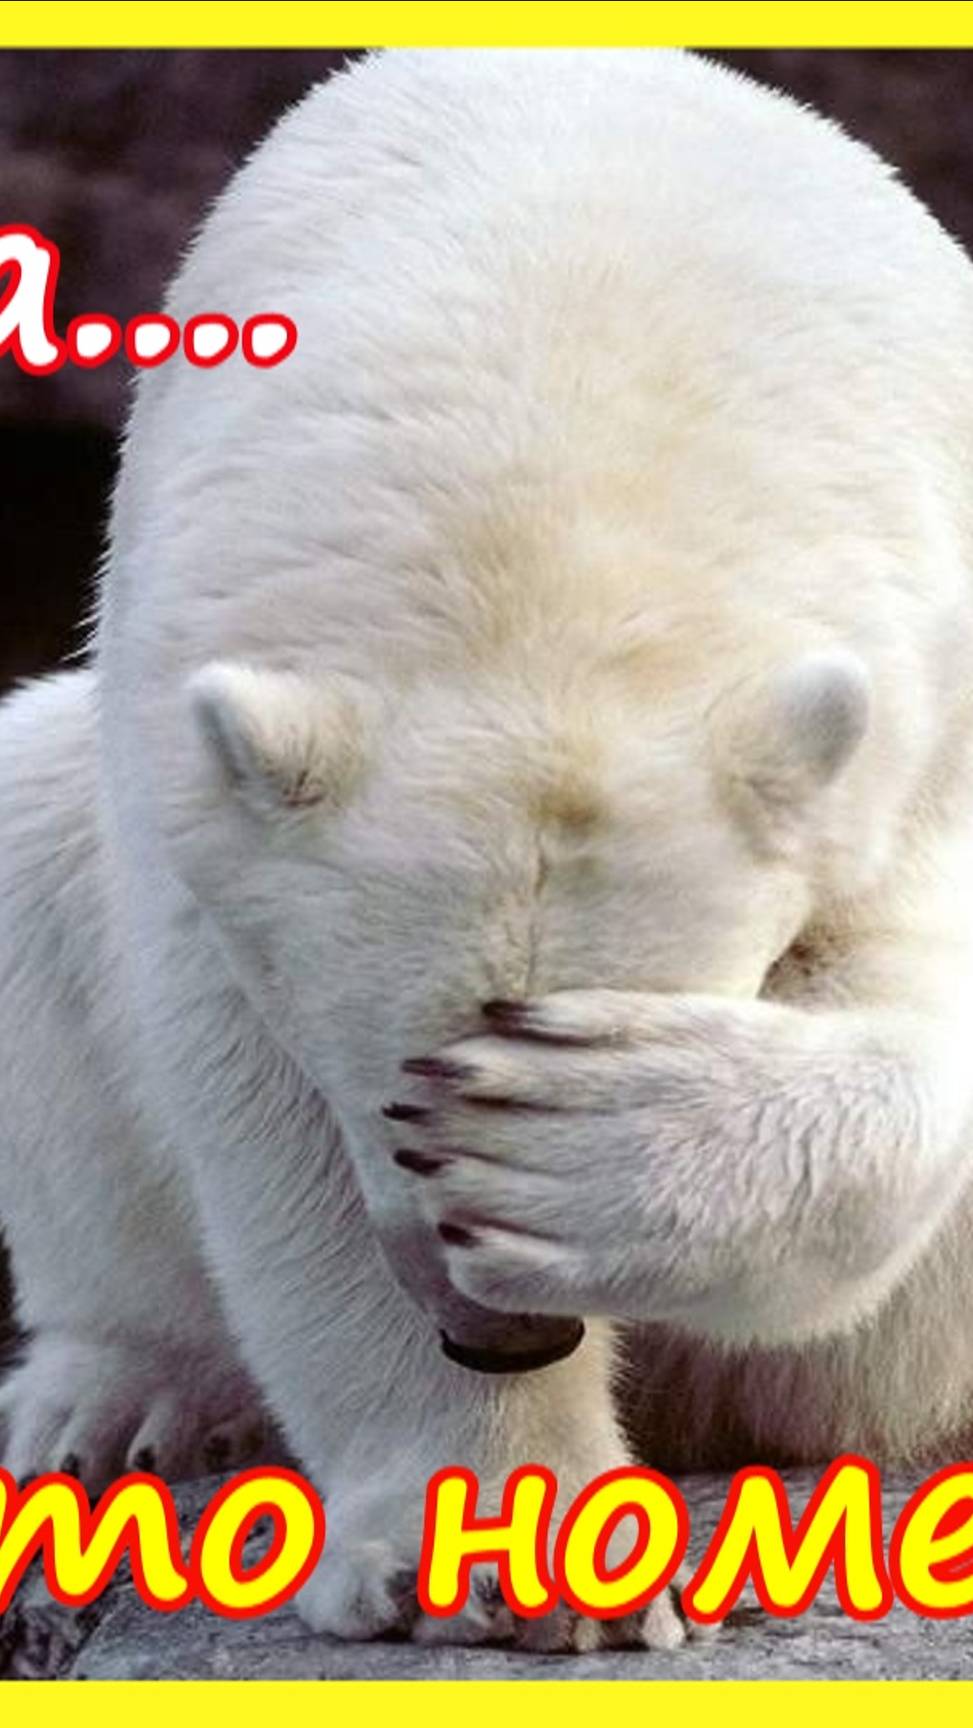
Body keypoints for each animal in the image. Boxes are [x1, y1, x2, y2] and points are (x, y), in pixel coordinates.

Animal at [3, 45, 973, 1651]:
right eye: (397, 1099)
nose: (501, 1334)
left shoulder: (919, 699)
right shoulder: (180, 743)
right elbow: (252, 1102)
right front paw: (500, 1552)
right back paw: (116, 1401)